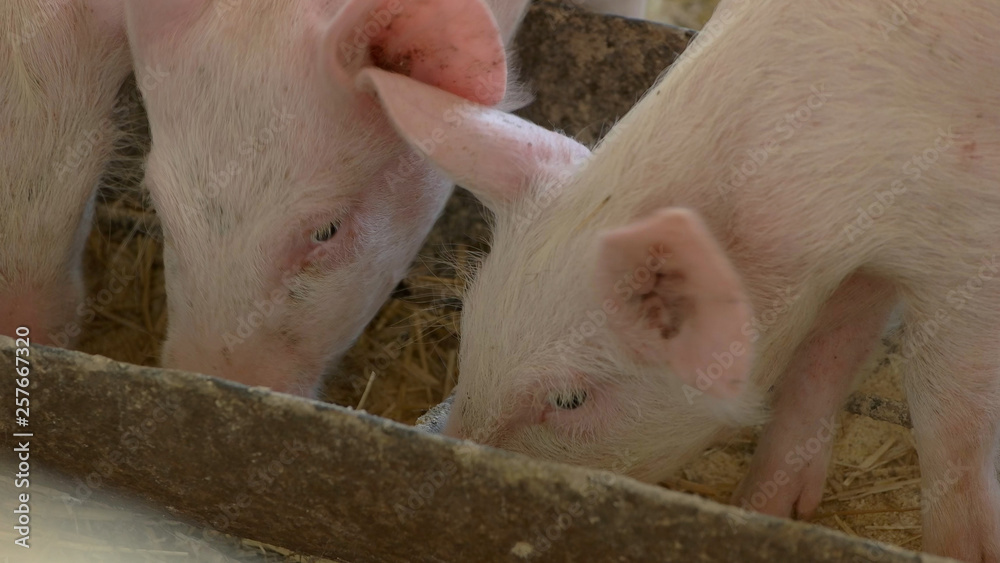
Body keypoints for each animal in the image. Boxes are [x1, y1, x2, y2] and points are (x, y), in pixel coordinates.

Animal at [373, 0, 1000, 559]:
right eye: (469, 338)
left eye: (569, 400)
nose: (451, 465)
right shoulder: (855, 252)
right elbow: (827, 349)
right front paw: (763, 509)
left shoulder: (967, 254)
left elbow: (944, 405)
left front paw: (959, 551)